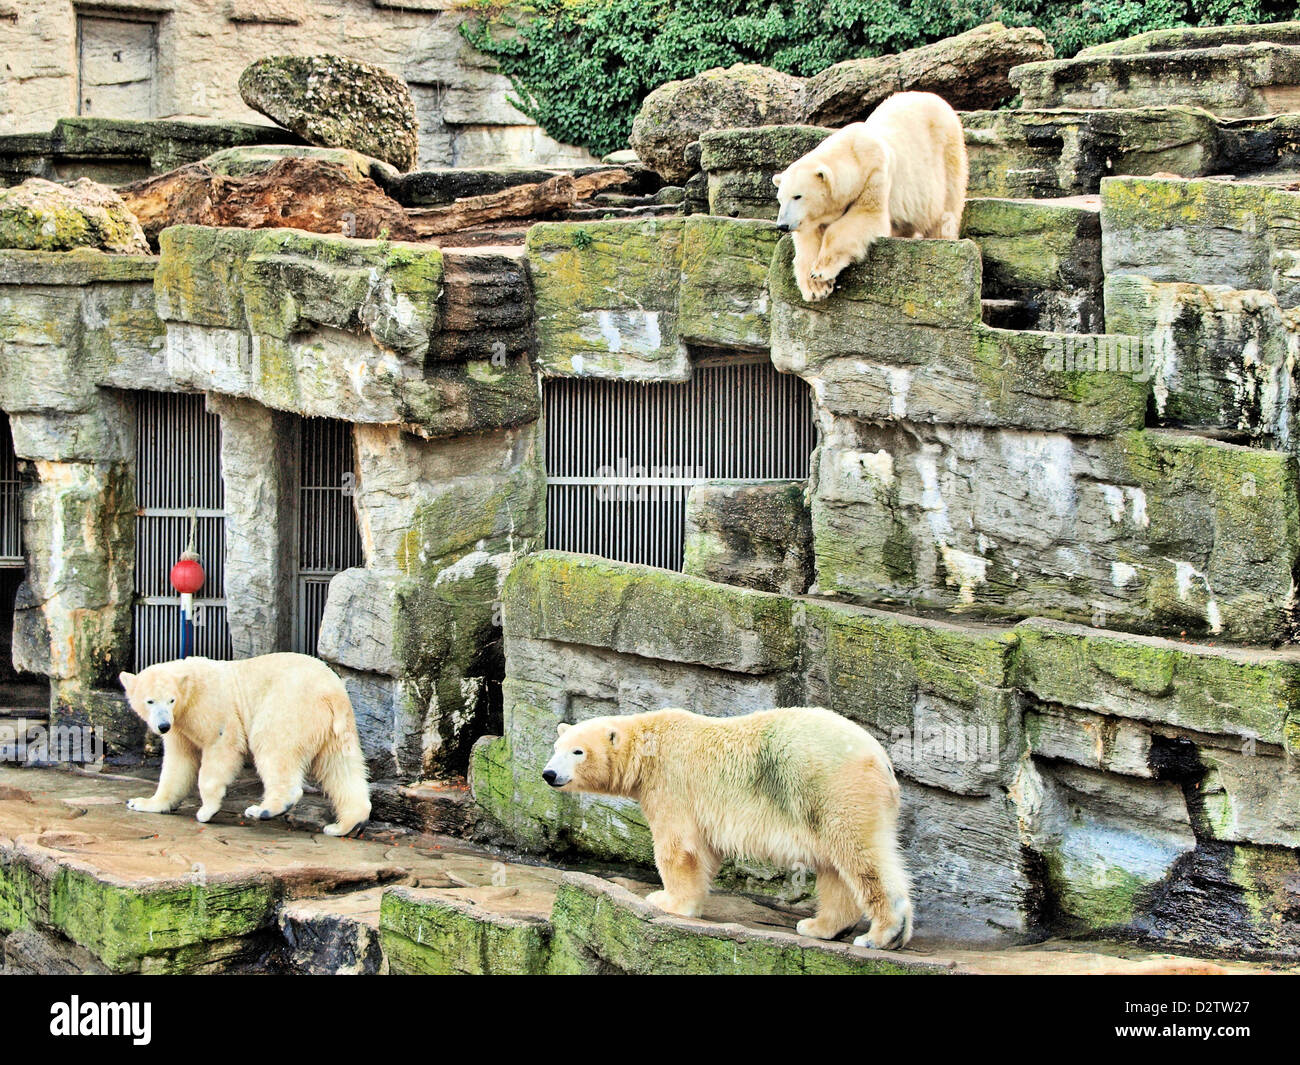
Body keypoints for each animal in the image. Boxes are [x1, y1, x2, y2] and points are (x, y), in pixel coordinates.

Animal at [119, 652, 371, 837]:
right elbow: (178, 762)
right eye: (150, 701)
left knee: (273, 746)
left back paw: (263, 809)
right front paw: (143, 802)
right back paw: (345, 824)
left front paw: (206, 811)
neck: (190, 688)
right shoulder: (180, 727)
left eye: (170, 700)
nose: (162, 725)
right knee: (341, 766)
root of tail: (332, 692)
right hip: (337, 727)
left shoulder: (208, 707)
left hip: (290, 705)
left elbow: (222, 742)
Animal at [542, 706, 912, 949]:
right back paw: (819, 926)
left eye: (578, 751)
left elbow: (678, 846)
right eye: (557, 748)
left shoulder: (671, 781)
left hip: (834, 788)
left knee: (859, 854)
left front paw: (667, 901)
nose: (549, 774)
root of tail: (882, 760)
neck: (649, 745)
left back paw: (881, 935)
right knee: (836, 869)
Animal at [773, 90, 968, 302]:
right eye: (781, 199)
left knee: (946, 205)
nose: (782, 225)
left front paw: (822, 270)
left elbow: (865, 217)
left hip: (947, 154)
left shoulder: (875, 173)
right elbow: (809, 235)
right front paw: (815, 287)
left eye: (797, 196)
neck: (853, 153)